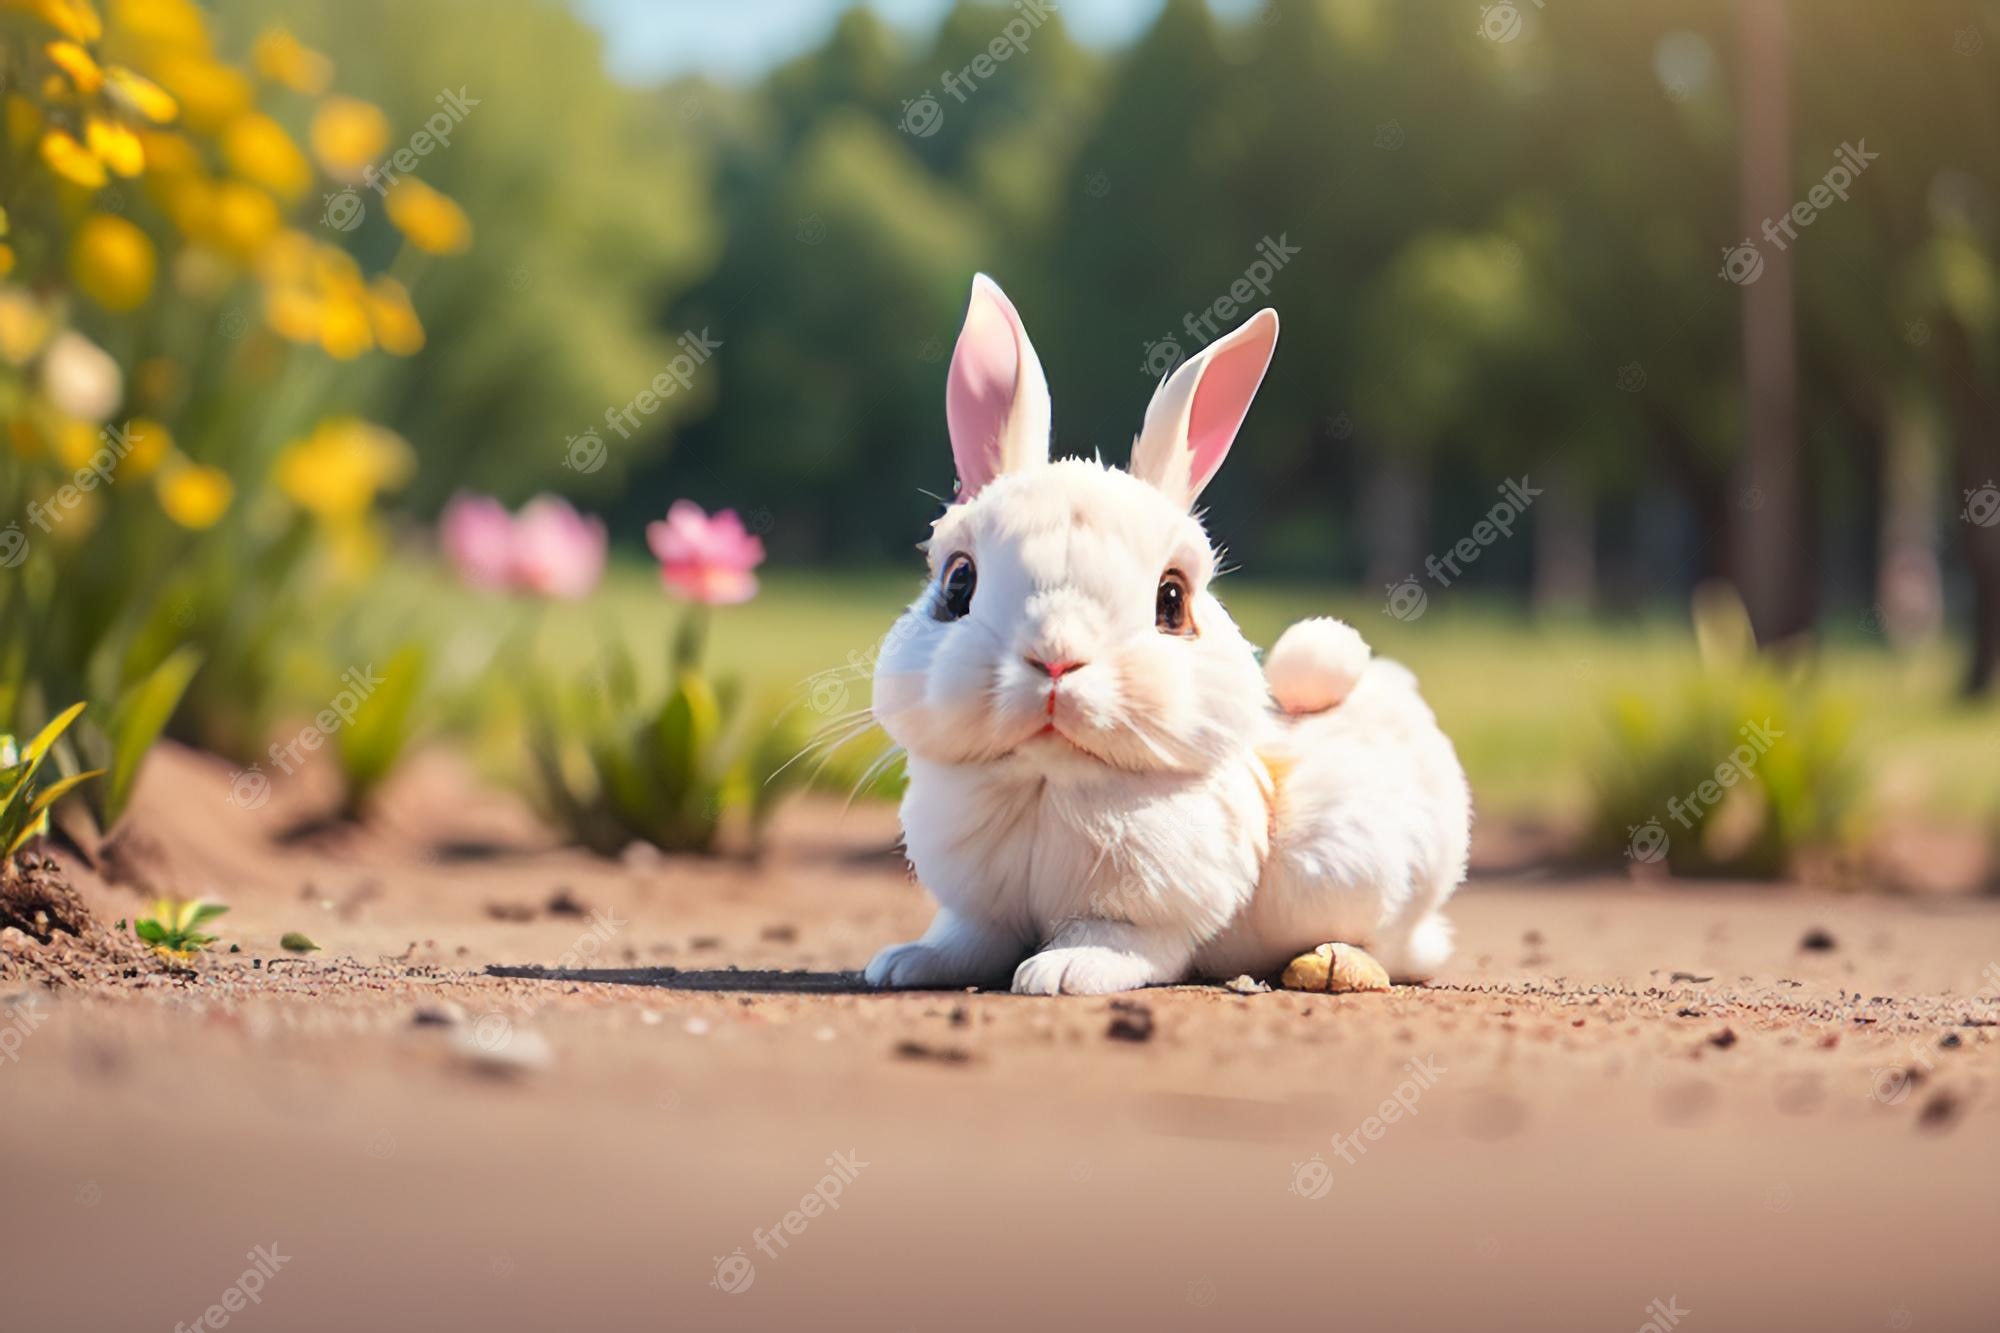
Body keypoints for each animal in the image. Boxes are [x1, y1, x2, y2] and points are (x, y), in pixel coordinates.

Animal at [864, 274, 1470, 996]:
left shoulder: (1152, 913)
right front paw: (904, 962)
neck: (1049, 780)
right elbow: (968, 938)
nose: (1056, 659)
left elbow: (1121, 941)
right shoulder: (981, 912)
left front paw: (1061, 972)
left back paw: (1332, 965)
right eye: (958, 583)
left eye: (1172, 601)